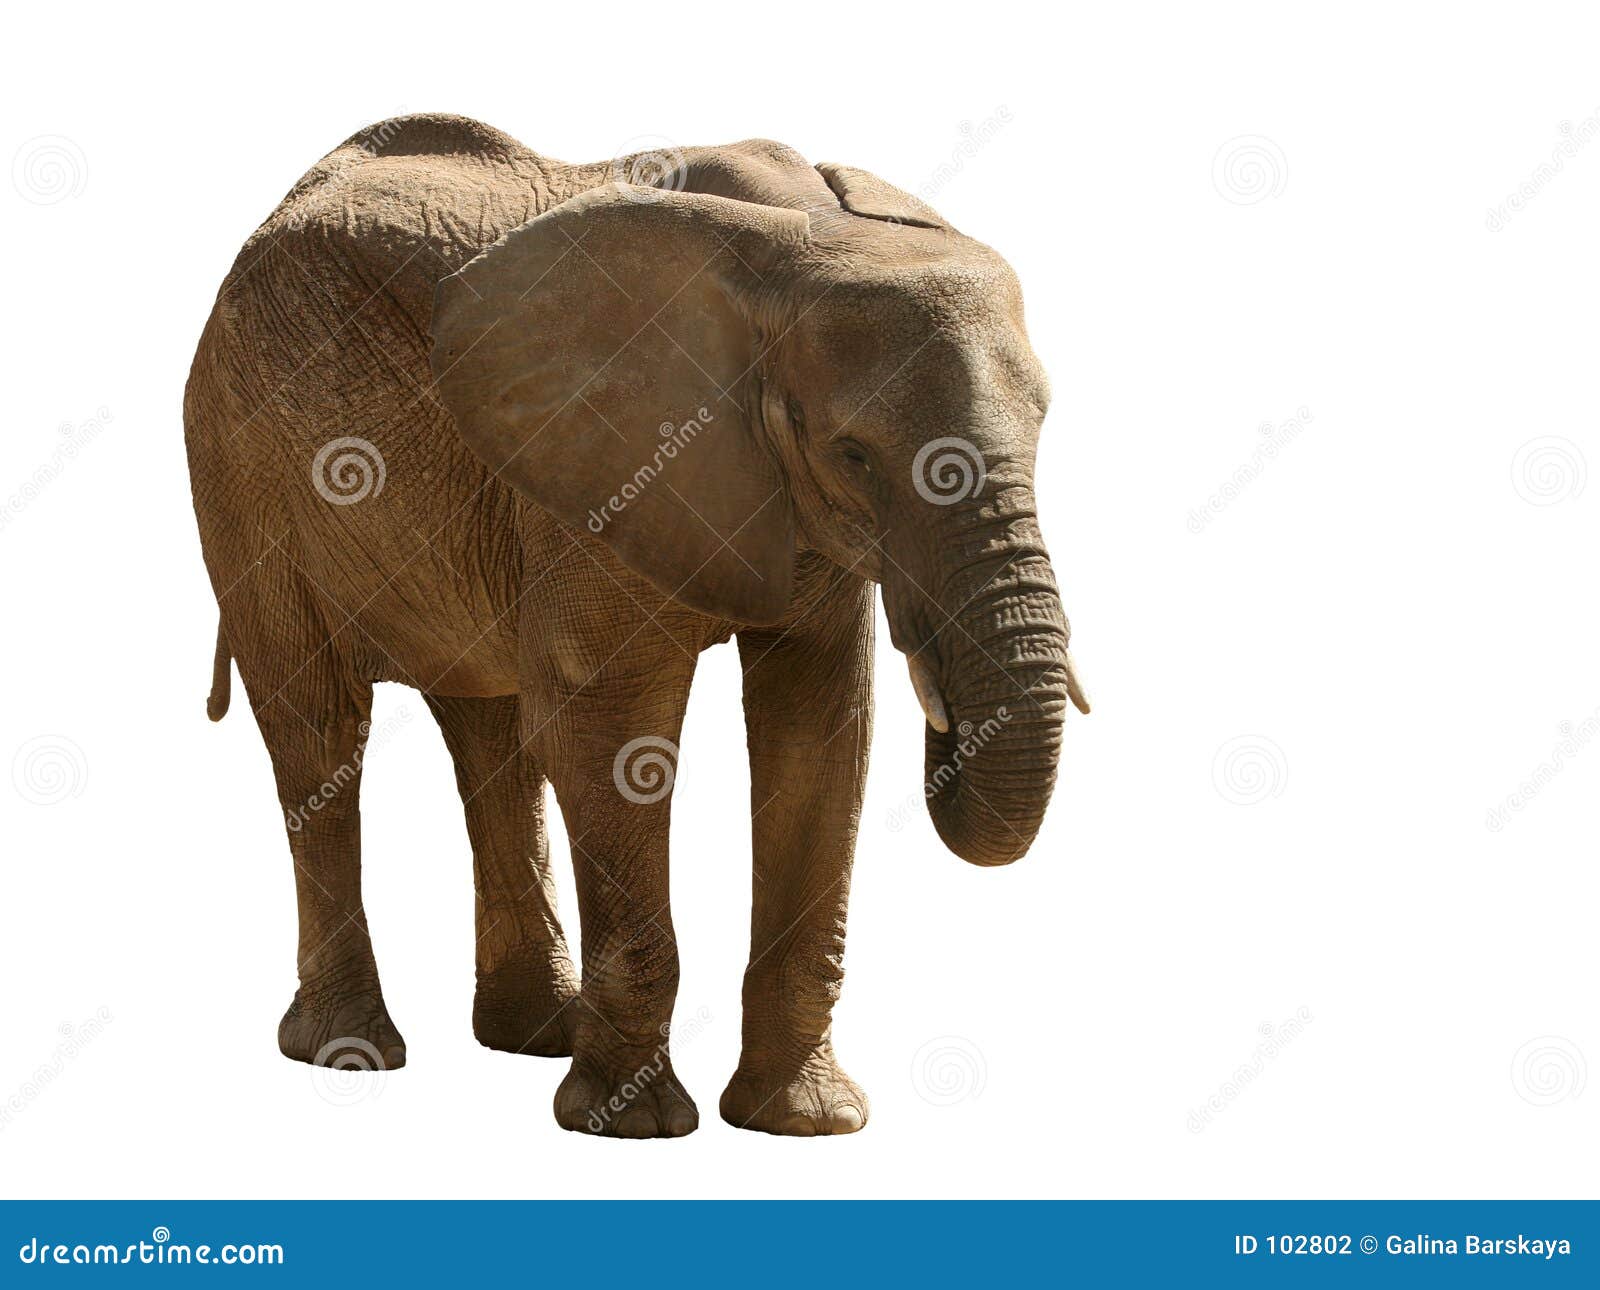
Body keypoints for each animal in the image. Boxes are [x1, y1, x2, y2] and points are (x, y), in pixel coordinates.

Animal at [183, 113, 1087, 1138]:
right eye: (853, 453)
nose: (946, 698)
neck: (800, 237)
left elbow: (821, 735)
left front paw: (805, 1124)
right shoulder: (605, 464)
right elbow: (609, 734)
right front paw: (635, 1128)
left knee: (489, 729)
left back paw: (533, 1034)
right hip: (242, 464)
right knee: (320, 726)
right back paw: (353, 1052)